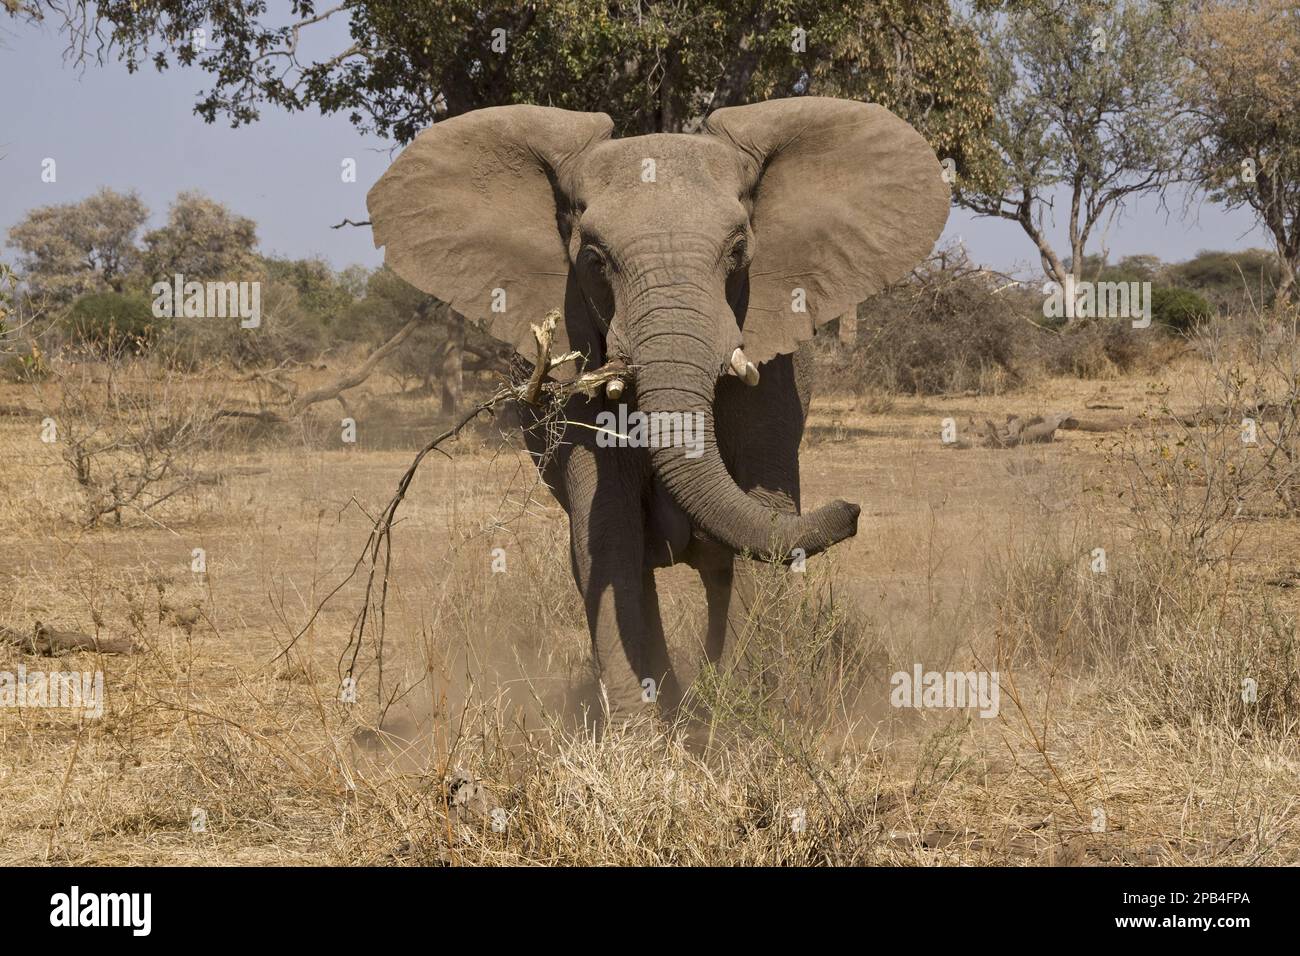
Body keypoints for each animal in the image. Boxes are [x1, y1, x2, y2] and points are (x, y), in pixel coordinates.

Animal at [366, 96, 949, 719]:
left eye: (739, 251)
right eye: (595, 260)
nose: (854, 509)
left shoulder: (775, 383)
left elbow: (765, 513)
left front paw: (740, 721)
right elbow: (607, 534)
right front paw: (641, 734)